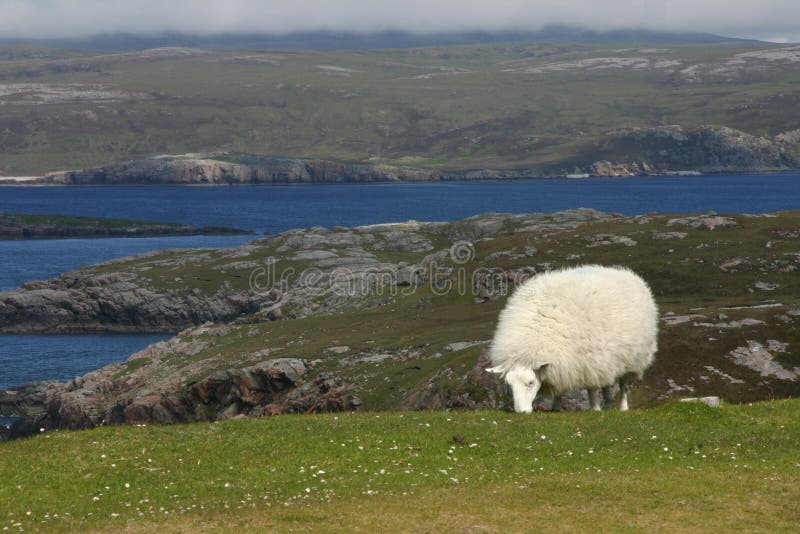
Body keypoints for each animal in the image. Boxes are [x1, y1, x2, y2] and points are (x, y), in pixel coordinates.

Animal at [486, 265, 658, 413]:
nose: (520, 412)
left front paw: (595, 408)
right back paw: (608, 404)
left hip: (632, 359)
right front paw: (556, 408)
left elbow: (591, 388)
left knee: (623, 386)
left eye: (530, 383)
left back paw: (622, 407)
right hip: (608, 358)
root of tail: (627, 273)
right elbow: (557, 387)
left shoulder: (588, 360)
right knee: (606, 383)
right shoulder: (562, 363)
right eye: (509, 385)